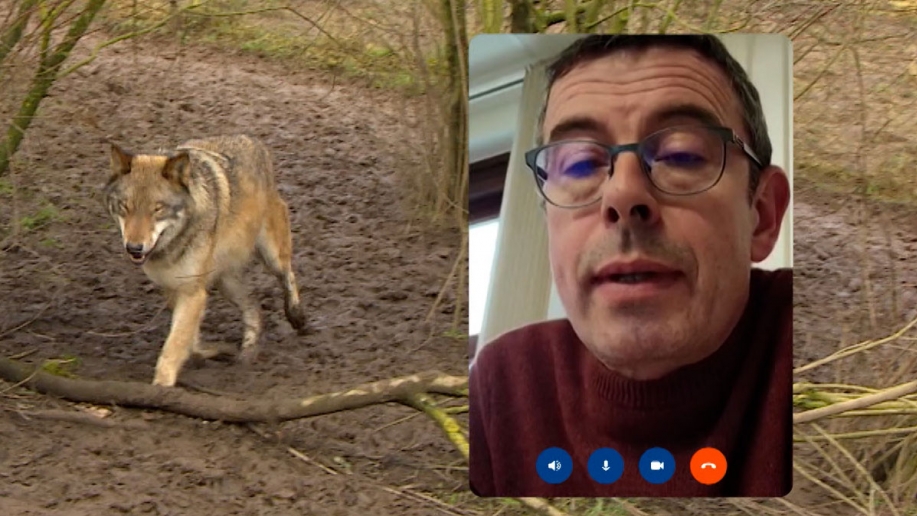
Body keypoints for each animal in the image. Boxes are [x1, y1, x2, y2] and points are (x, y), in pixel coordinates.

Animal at [103, 134, 307, 387]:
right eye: (125, 206)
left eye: (157, 209)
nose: (134, 248)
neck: (172, 246)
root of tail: (250, 139)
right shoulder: (174, 288)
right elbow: (190, 341)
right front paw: (213, 352)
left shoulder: (193, 292)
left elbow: (174, 345)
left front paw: (161, 387)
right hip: (226, 283)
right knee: (254, 307)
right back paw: (247, 353)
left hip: (271, 255)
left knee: (288, 275)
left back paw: (296, 316)